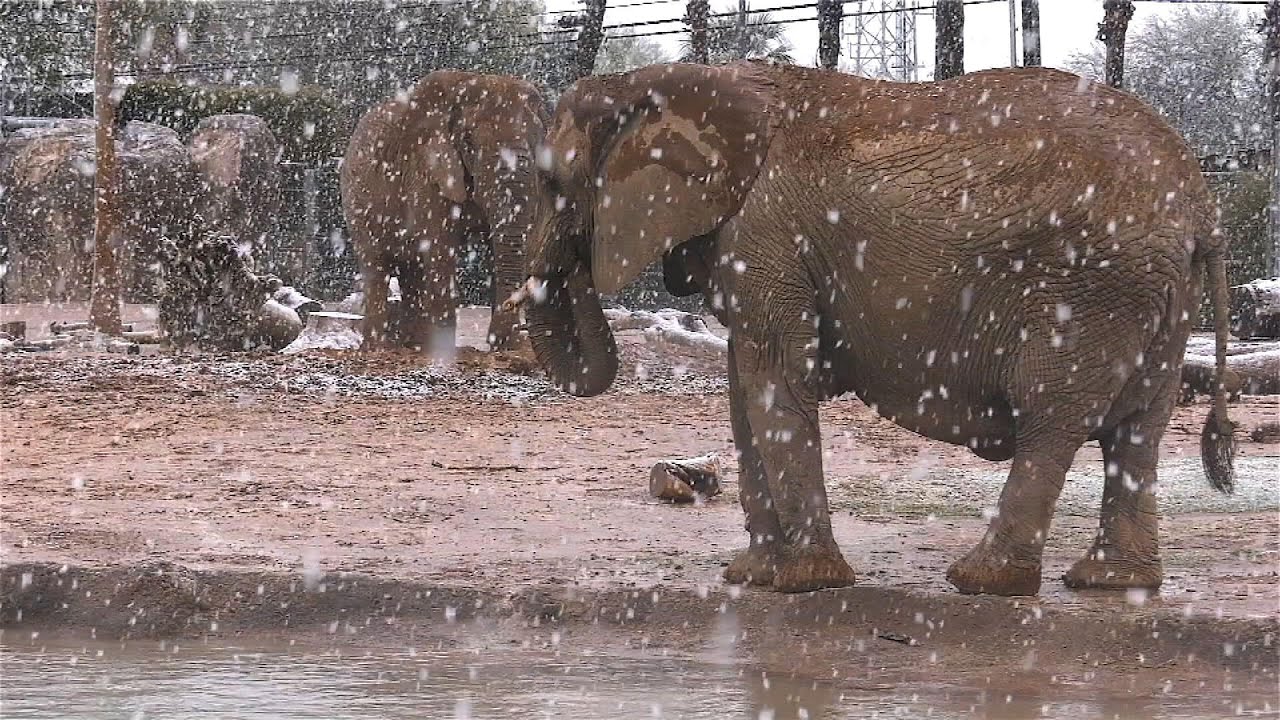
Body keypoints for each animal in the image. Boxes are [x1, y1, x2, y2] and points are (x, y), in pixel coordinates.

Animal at [340, 70, 549, 356]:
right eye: (469, 142)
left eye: (537, 141)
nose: (499, 345)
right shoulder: (426, 171)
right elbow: (441, 249)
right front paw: (445, 353)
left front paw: (509, 349)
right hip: (356, 204)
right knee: (376, 267)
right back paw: (379, 349)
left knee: (412, 269)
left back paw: (413, 346)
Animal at [508, 62, 1237, 596]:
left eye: (551, 181)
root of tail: (1202, 206)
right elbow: (746, 390)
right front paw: (752, 577)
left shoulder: (767, 234)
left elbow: (776, 380)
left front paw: (803, 584)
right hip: (1157, 299)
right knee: (1139, 429)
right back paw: (1112, 584)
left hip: (1092, 293)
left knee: (1052, 420)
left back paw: (982, 582)